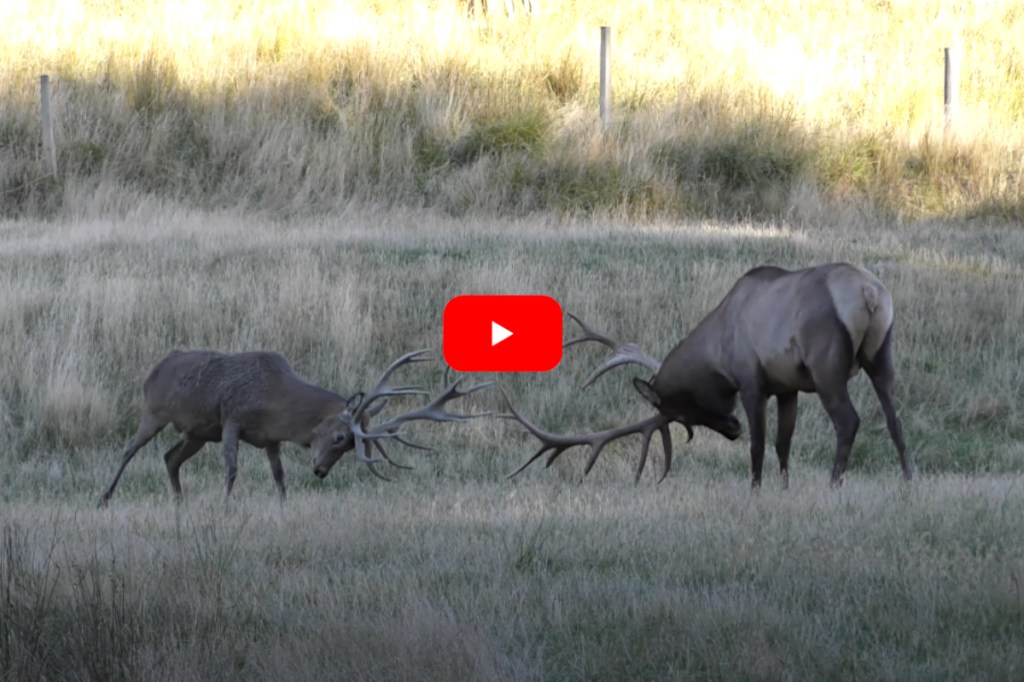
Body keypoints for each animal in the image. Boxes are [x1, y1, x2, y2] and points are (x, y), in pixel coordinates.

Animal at [99, 349, 489, 506]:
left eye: (351, 447)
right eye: (340, 437)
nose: (320, 471)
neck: (274, 401)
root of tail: (152, 372)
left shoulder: (269, 437)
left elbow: (279, 476)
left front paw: (284, 507)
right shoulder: (232, 418)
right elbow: (232, 468)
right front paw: (225, 506)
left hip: (196, 433)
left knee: (170, 457)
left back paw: (179, 502)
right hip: (155, 412)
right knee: (129, 450)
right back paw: (105, 497)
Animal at [506, 263, 912, 488]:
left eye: (679, 415)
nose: (731, 428)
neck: (716, 353)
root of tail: (869, 293)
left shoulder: (751, 381)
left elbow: (758, 445)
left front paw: (755, 490)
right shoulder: (787, 388)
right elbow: (783, 444)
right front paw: (783, 488)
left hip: (827, 366)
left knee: (849, 421)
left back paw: (834, 484)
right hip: (882, 355)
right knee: (895, 420)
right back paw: (908, 482)